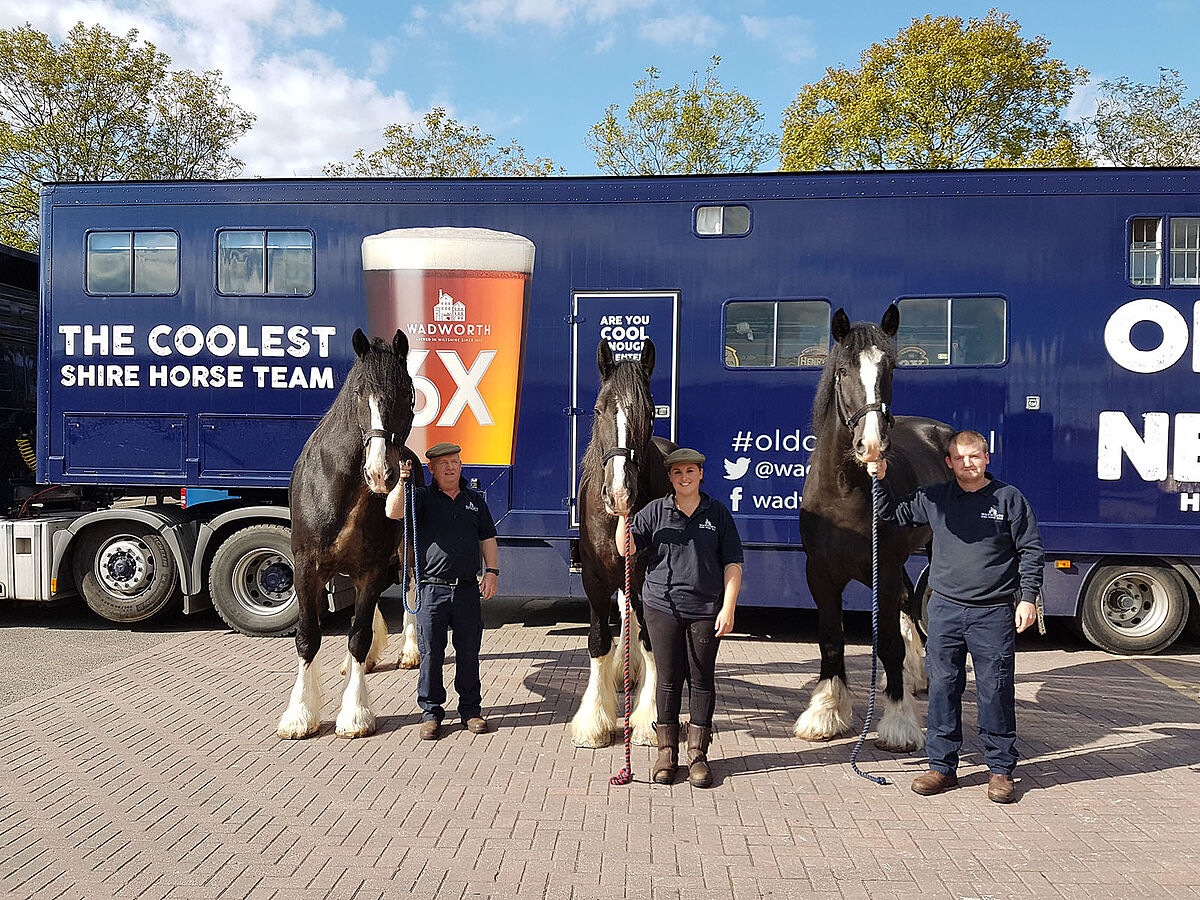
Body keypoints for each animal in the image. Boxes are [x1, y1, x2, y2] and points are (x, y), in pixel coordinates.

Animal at [277, 328, 422, 739]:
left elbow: (358, 635)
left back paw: (408, 652)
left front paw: (355, 714)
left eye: (406, 392)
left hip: (407, 549)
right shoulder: (306, 568)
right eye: (358, 392)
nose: (380, 473)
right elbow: (307, 637)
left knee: (409, 589)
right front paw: (299, 714)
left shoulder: (371, 569)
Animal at [570, 339, 676, 748]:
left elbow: (652, 643)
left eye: (648, 412)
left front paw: (649, 719)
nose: (619, 494)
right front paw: (593, 722)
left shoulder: (650, 579)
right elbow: (599, 641)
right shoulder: (594, 579)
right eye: (600, 409)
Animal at [794, 305, 955, 751]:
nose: (871, 445)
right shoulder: (820, 574)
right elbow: (831, 640)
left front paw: (898, 724)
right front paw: (825, 713)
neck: (845, 492)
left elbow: (887, 644)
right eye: (843, 371)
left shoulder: (882, 568)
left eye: (891, 369)